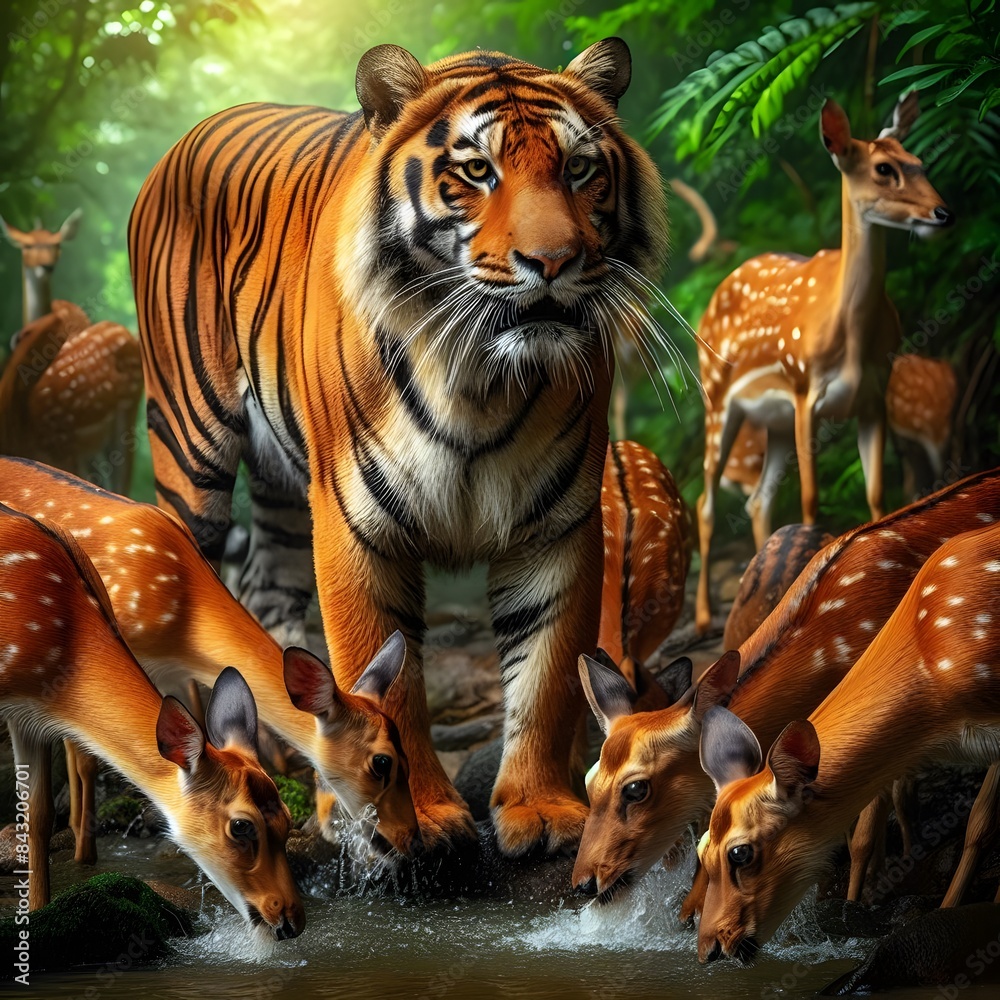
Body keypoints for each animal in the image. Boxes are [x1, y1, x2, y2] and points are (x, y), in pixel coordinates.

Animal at [0, 503, 305, 936]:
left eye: (289, 818)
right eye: (241, 825)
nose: (292, 919)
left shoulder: (28, 717)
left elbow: (36, 817)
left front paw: (38, 913)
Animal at [128, 38, 668, 857]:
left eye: (580, 169)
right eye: (477, 171)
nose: (555, 261)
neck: (481, 375)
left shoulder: (557, 524)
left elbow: (545, 676)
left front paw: (542, 811)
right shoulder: (357, 522)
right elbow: (385, 676)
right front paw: (414, 815)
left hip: (283, 497)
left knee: (266, 592)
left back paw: (285, 757)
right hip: (192, 454)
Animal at [694, 92, 954, 633]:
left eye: (918, 161)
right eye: (883, 169)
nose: (943, 213)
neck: (851, 341)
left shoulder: (874, 396)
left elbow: (876, 495)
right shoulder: (803, 391)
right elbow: (812, 502)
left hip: (769, 421)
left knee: (758, 499)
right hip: (716, 401)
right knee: (707, 502)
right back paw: (707, 617)